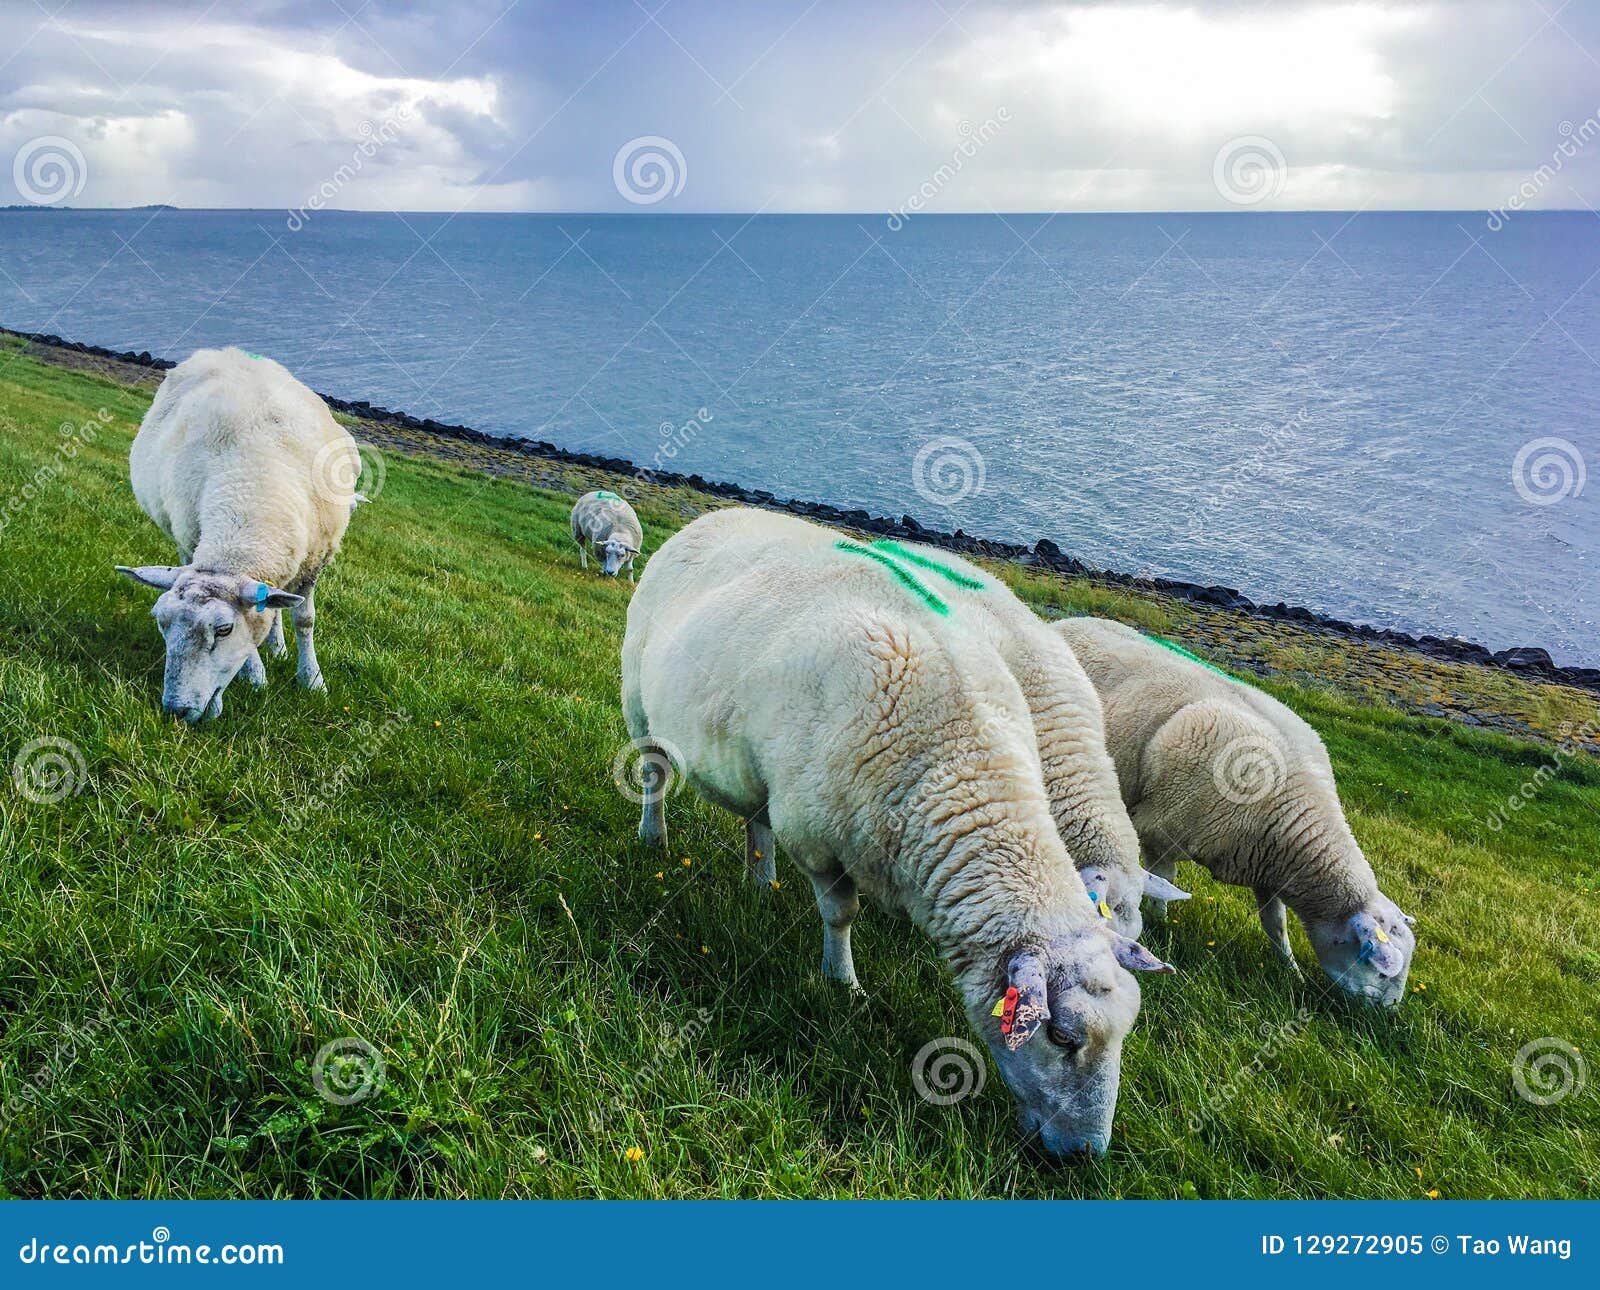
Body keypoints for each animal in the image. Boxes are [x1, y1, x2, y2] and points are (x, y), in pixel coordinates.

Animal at [116, 347, 359, 722]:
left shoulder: (315, 560)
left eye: (223, 630)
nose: (176, 711)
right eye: (160, 622)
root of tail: (219, 352)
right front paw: (256, 676)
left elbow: (304, 618)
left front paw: (313, 681)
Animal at [1052, 616, 1417, 1006]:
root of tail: (1071, 620)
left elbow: (1276, 924)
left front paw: (1291, 970)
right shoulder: (1159, 833)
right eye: (1378, 966)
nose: (1389, 1012)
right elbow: (1162, 888)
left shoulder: (1268, 874)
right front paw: (1161, 931)